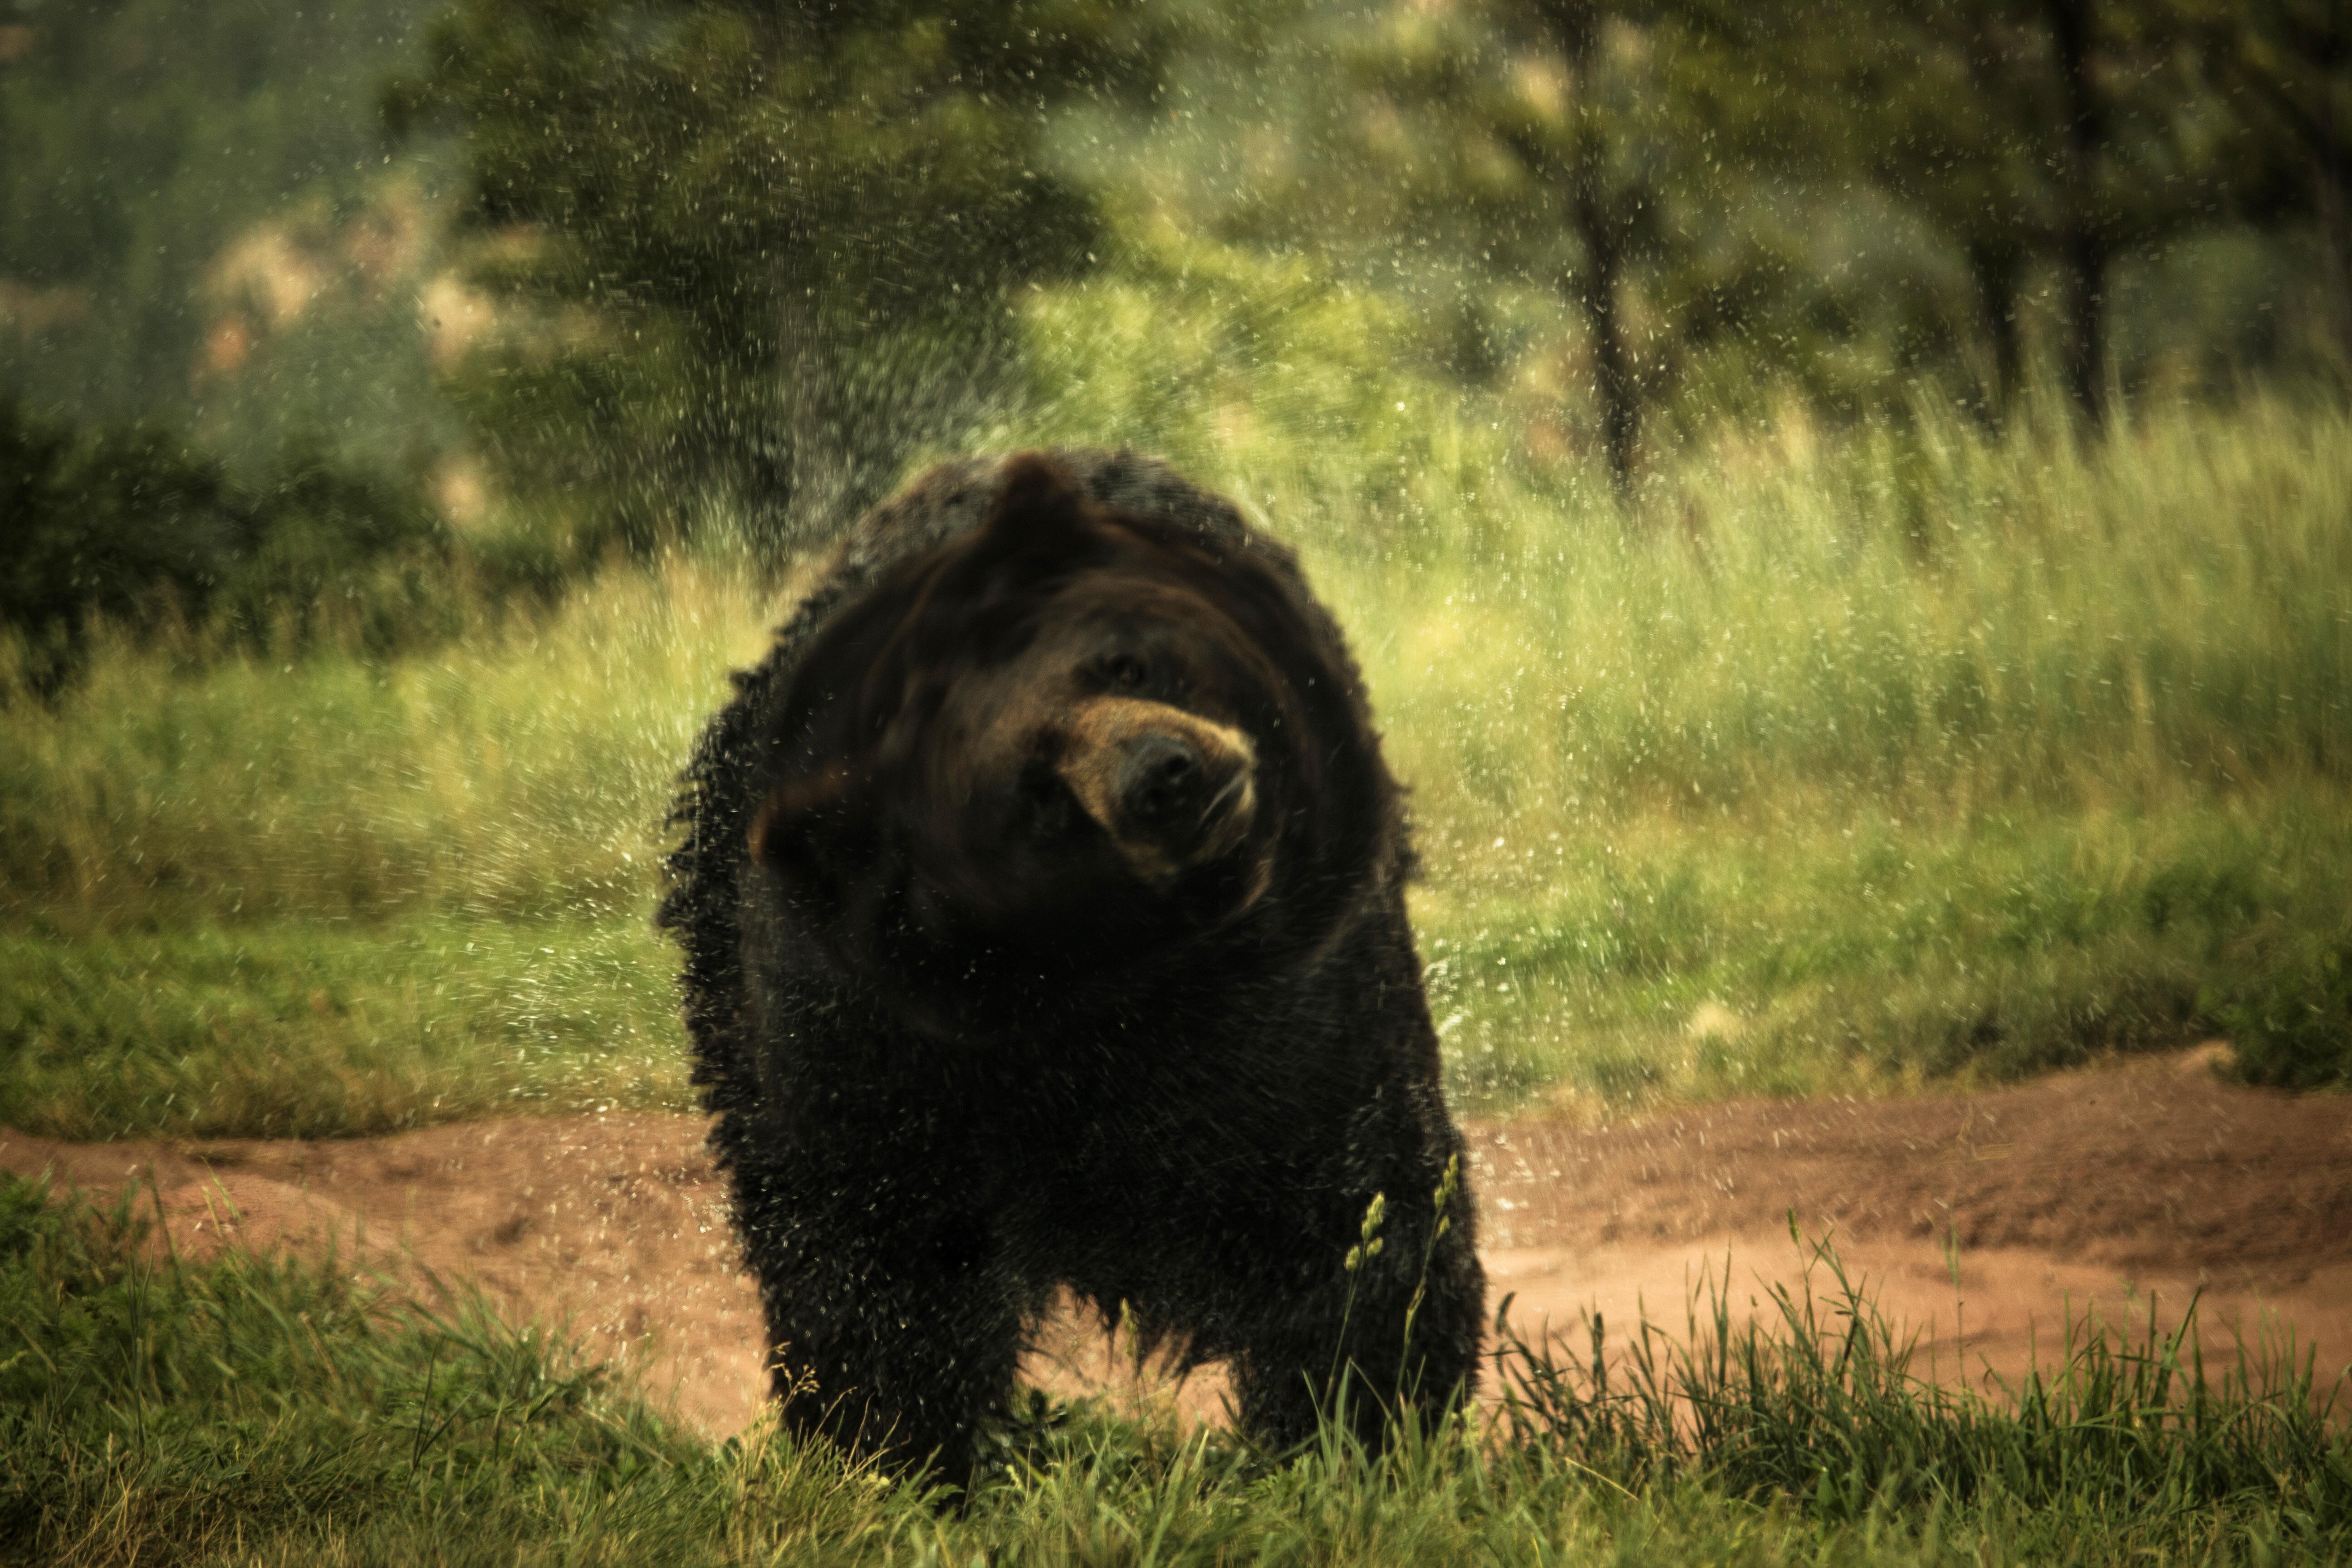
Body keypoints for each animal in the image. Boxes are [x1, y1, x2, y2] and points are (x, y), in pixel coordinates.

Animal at [659, 449, 1483, 1485]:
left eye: (1125, 661)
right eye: (1036, 795)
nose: (1167, 775)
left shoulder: (1298, 1011)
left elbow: (1357, 1208)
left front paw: (1365, 1421)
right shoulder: (865, 1045)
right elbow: (876, 1255)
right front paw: (888, 1448)